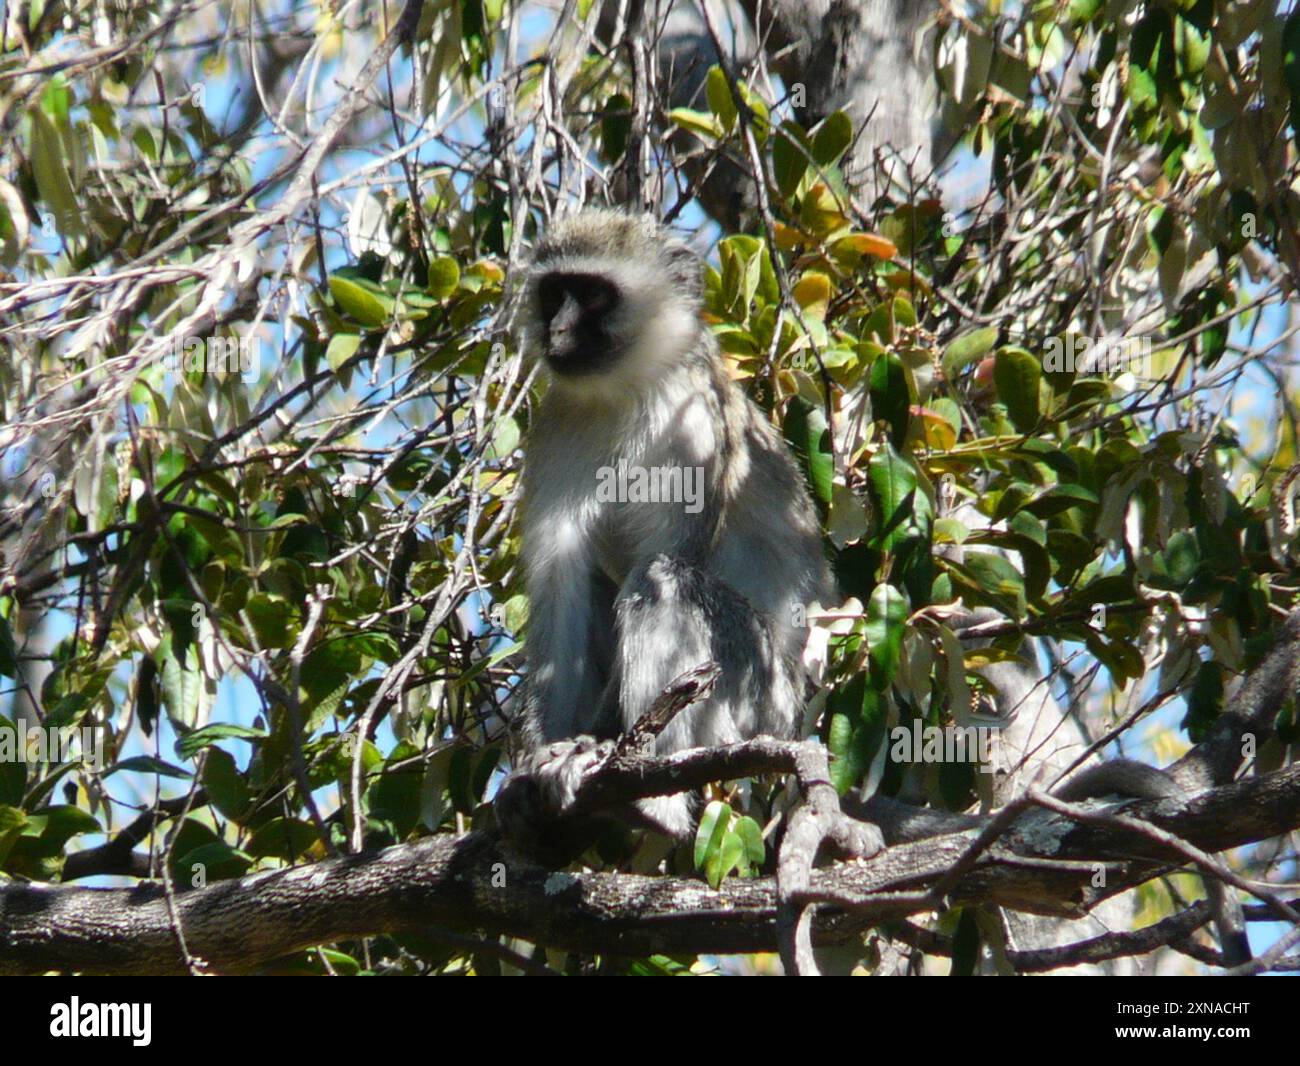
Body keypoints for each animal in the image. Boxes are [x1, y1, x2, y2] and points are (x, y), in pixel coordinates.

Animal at [502, 208, 838, 843]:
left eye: (593, 295)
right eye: (555, 292)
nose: (557, 332)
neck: (626, 389)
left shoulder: (695, 422)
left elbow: (677, 555)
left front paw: (589, 749)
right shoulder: (557, 422)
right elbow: (560, 589)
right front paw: (533, 761)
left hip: (759, 695)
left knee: (664, 577)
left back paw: (652, 798)